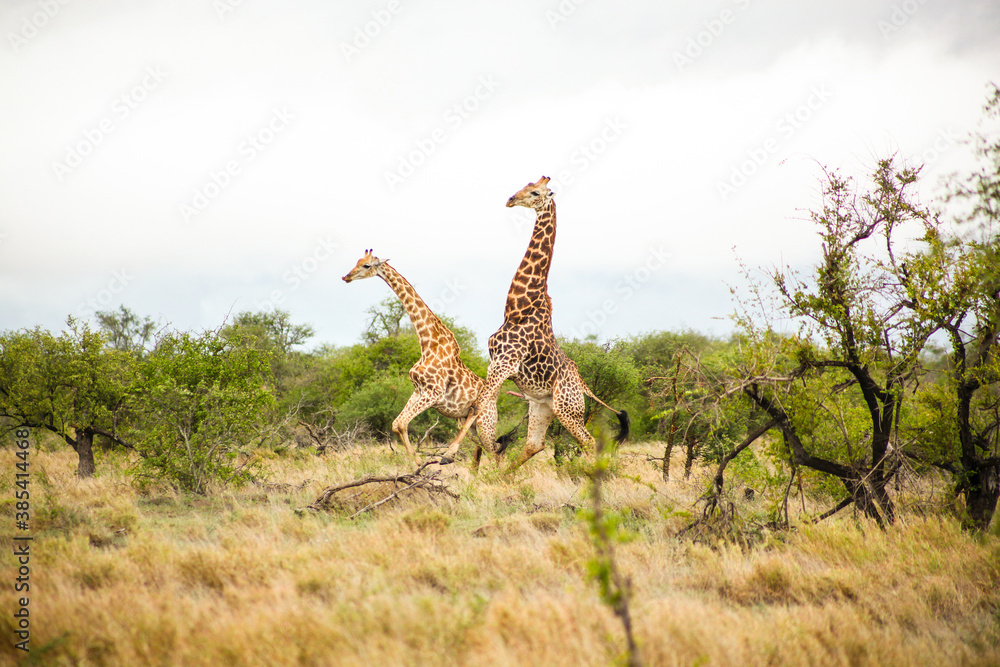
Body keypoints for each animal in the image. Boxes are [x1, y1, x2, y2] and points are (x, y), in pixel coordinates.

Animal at [342, 250, 486, 463]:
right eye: (357, 261)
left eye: (366, 265)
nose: (346, 277)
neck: (428, 342)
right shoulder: (419, 390)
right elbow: (396, 424)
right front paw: (415, 462)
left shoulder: (434, 392)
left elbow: (401, 424)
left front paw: (419, 463)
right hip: (467, 417)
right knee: (485, 445)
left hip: (483, 413)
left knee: (483, 429)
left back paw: (449, 454)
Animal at [475, 176, 629, 472]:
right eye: (525, 185)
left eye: (535, 192)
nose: (511, 199)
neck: (517, 308)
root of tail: (584, 386)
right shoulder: (495, 364)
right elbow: (481, 414)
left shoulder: (502, 364)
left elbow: (479, 413)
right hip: (542, 405)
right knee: (536, 444)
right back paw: (502, 477)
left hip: (568, 409)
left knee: (589, 442)